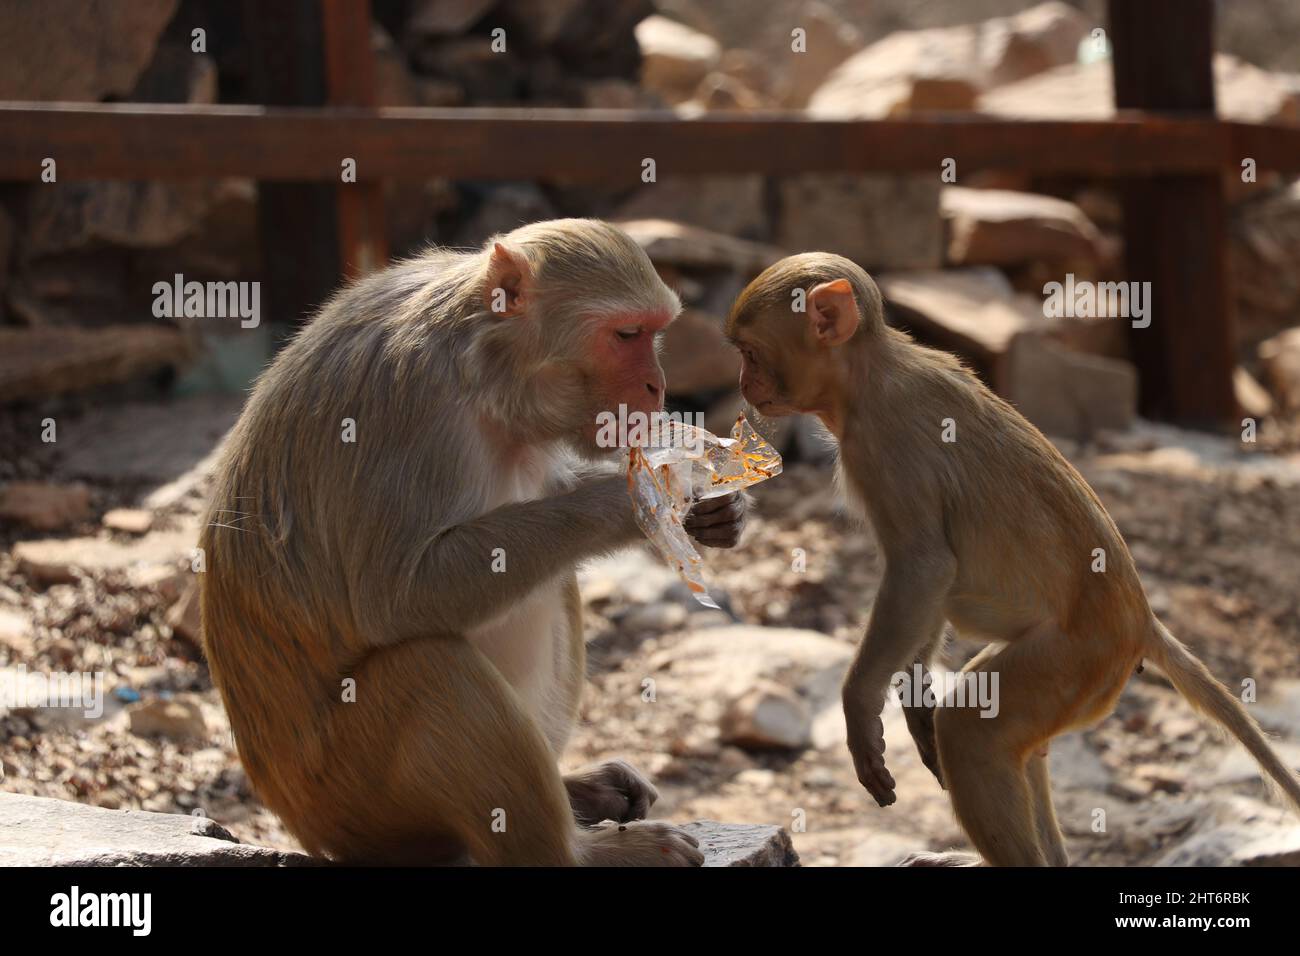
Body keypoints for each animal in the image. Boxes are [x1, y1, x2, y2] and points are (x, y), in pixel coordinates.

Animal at [199, 219, 748, 866]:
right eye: (626, 334)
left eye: (654, 334)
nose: (657, 387)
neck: (484, 371)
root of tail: (308, 829)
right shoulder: (407, 406)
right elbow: (396, 596)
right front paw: (636, 498)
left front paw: (722, 513)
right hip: (356, 803)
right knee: (430, 669)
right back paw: (580, 854)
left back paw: (577, 792)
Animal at [725, 252, 1300, 867]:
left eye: (750, 353)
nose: (742, 384)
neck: (868, 375)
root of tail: (1141, 623)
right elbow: (928, 589)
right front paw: (913, 694)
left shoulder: (883, 448)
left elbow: (924, 567)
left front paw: (861, 711)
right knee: (1022, 747)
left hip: (1075, 663)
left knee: (972, 730)